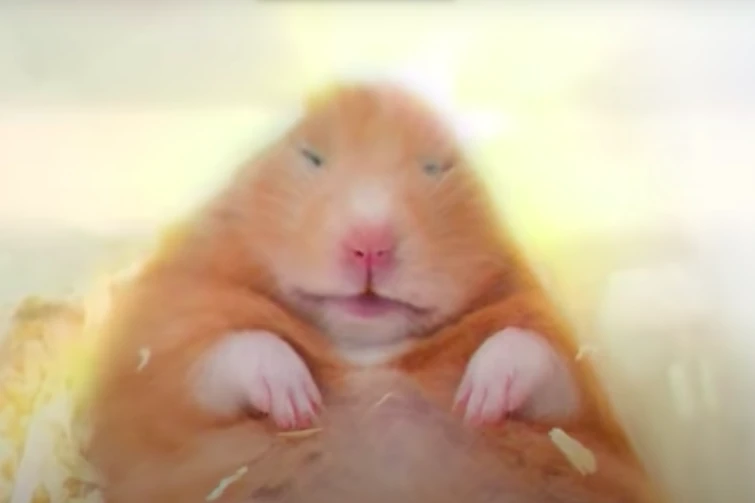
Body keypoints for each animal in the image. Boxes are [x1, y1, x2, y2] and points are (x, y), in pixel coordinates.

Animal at [87, 82, 640, 501]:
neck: (366, 349)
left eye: (436, 168)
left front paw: (477, 402)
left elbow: (537, 358)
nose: (369, 245)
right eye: (311, 157)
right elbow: (232, 351)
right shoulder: (165, 346)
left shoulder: (585, 395)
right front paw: (299, 404)